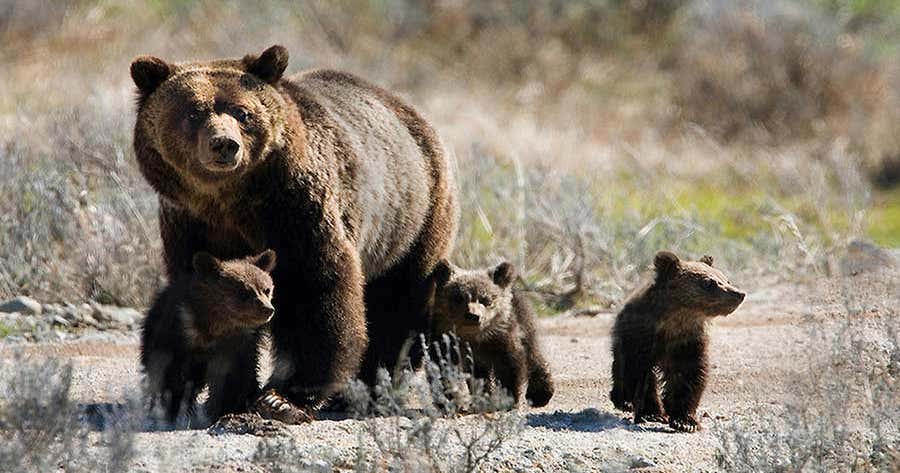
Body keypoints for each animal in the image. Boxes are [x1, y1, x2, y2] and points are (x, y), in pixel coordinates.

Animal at [140, 250, 290, 424]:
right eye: (245, 292)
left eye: (267, 289)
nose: (268, 309)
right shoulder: (179, 333)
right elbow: (171, 373)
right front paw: (173, 408)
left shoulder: (238, 346)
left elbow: (233, 378)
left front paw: (225, 409)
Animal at [430, 259, 554, 407]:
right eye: (458, 297)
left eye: (486, 300)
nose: (473, 315)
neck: (474, 337)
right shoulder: (447, 340)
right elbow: (444, 366)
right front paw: (450, 398)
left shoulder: (502, 337)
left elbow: (511, 364)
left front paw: (513, 398)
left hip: (525, 322)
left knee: (533, 354)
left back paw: (542, 393)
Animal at [609, 251, 746, 432]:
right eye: (708, 283)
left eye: (726, 279)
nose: (739, 294)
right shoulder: (640, 339)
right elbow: (640, 375)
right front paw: (651, 414)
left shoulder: (688, 342)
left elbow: (688, 376)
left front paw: (684, 421)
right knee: (619, 366)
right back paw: (623, 401)